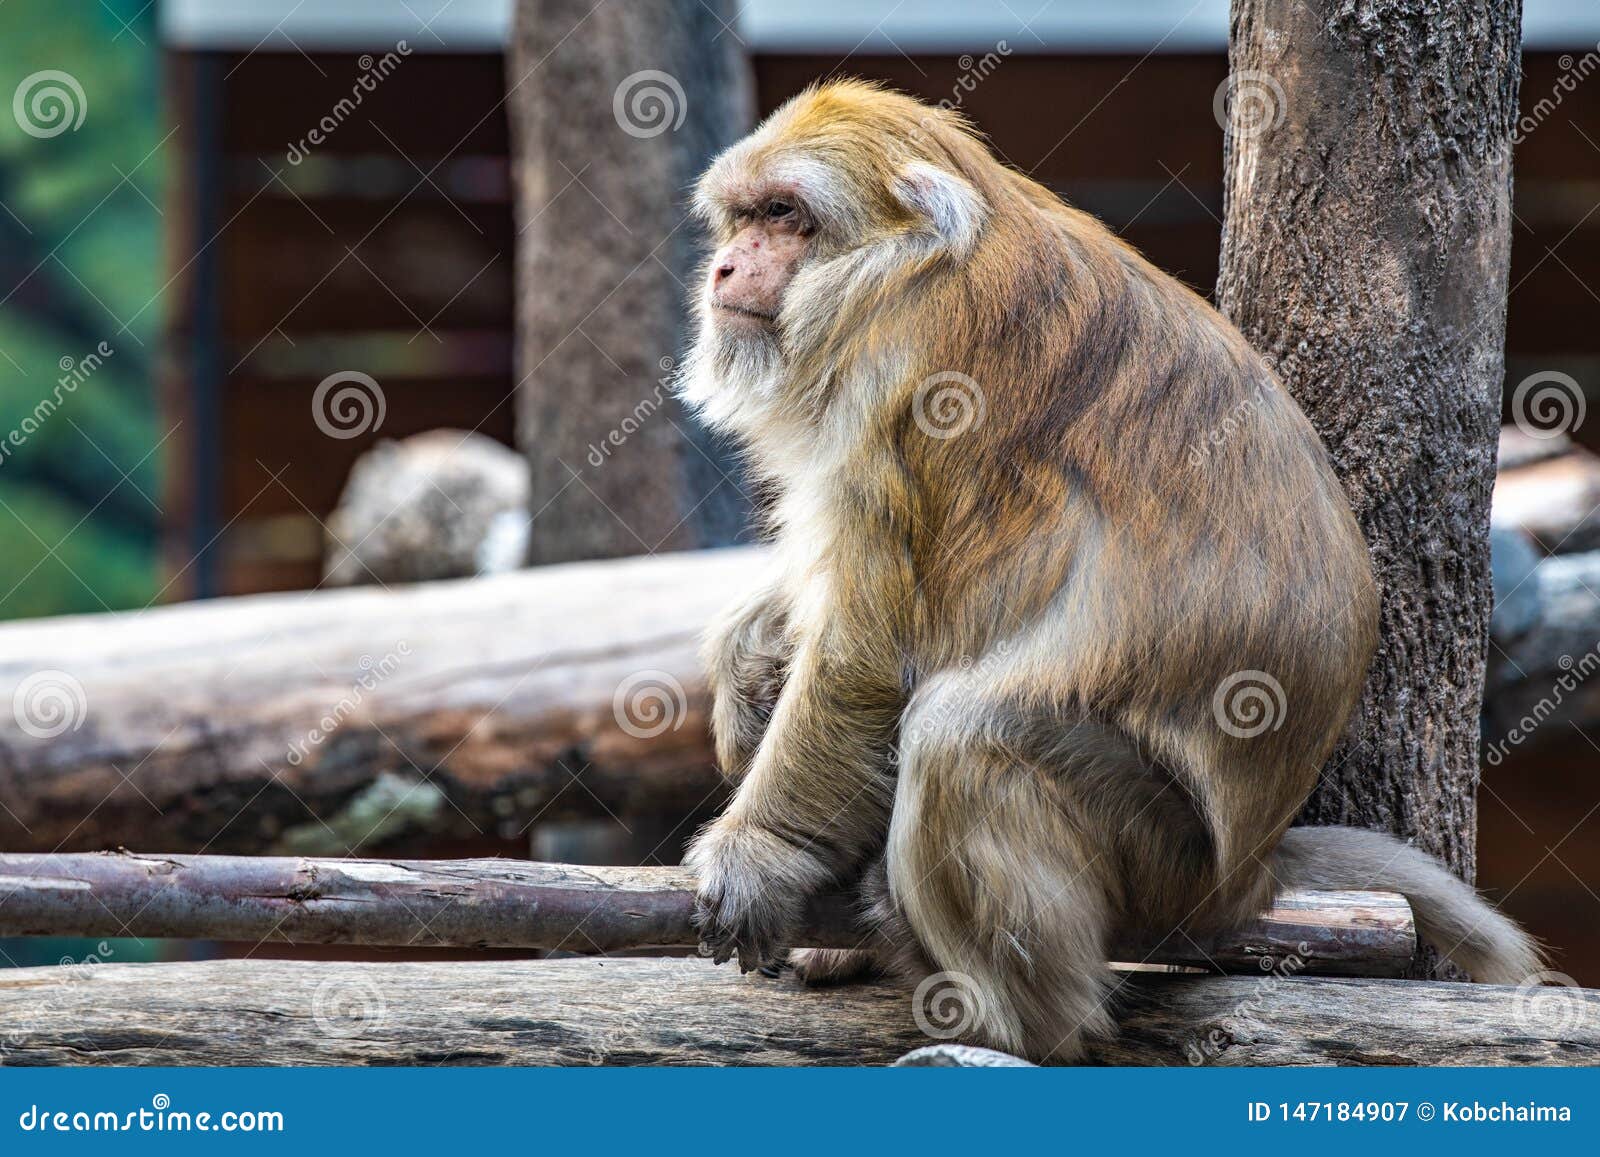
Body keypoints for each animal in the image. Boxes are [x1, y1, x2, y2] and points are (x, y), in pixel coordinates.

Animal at [672, 80, 1542, 1062]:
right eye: (743, 216)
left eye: (786, 216)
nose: (726, 270)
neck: (908, 265)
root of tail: (1252, 873)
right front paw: (749, 649)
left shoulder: (903, 374)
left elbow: (869, 653)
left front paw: (762, 850)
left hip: (1164, 861)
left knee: (964, 735)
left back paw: (1008, 1024)